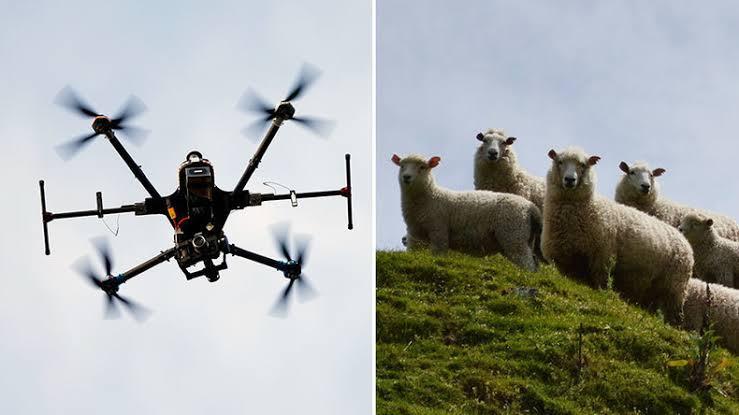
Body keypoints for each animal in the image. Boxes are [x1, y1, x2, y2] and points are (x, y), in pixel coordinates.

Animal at [392, 153, 542, 271]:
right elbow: (413, 252)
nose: (406, 177)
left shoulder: (439, 231)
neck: (430, 197)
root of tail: (531, 207)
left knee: (527, 263)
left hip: (513, 234)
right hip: (524, 237)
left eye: (422, 167)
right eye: (402, 166)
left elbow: (437, 254)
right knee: (533, 262)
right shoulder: (414, 233)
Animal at [541, 147, 693, 324]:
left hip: (676, 286)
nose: (570, 180)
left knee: (675, 314)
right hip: (653, 287)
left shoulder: (602, 257)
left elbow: (601, 284)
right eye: (559, 162)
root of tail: (685, 241)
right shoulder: (562, 261)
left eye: (583, 165)